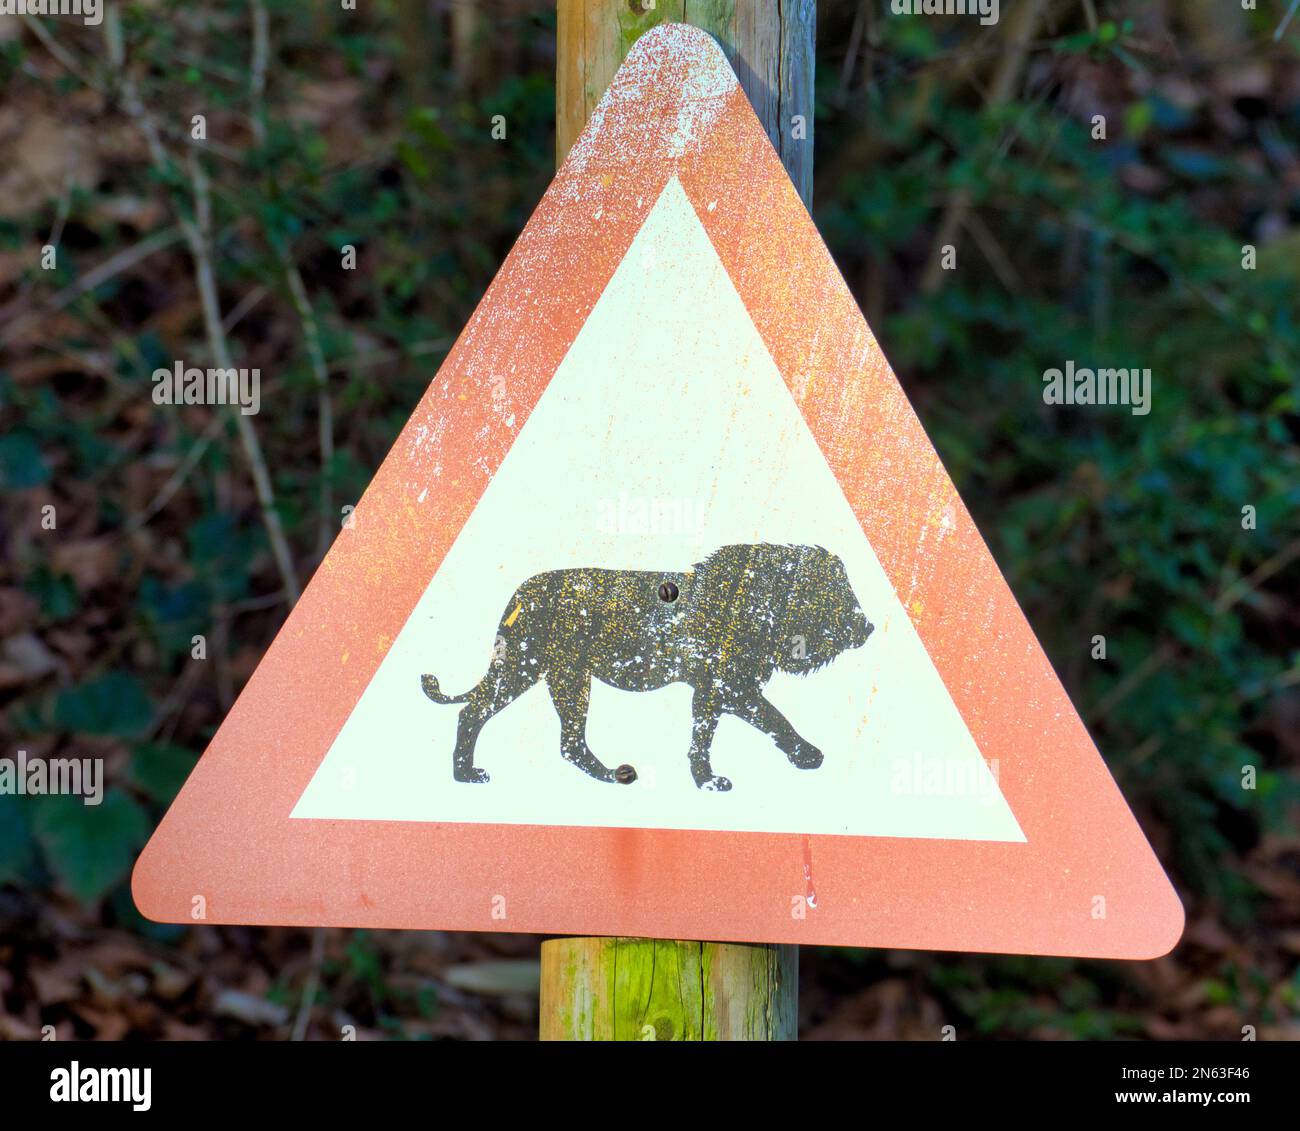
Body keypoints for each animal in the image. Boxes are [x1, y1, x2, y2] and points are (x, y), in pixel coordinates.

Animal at [420, 543, 873, 791]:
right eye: (832, 592)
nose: (867, 625)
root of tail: (520, 593)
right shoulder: (728, 686)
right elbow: (774, 718)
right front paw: (804, 756)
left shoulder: (713, 691)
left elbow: (706, 735)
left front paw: (706, 780)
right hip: (528, 667)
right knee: (474, 711)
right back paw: (465, 775)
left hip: (562, 676)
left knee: (568, 741)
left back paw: (609, 776)